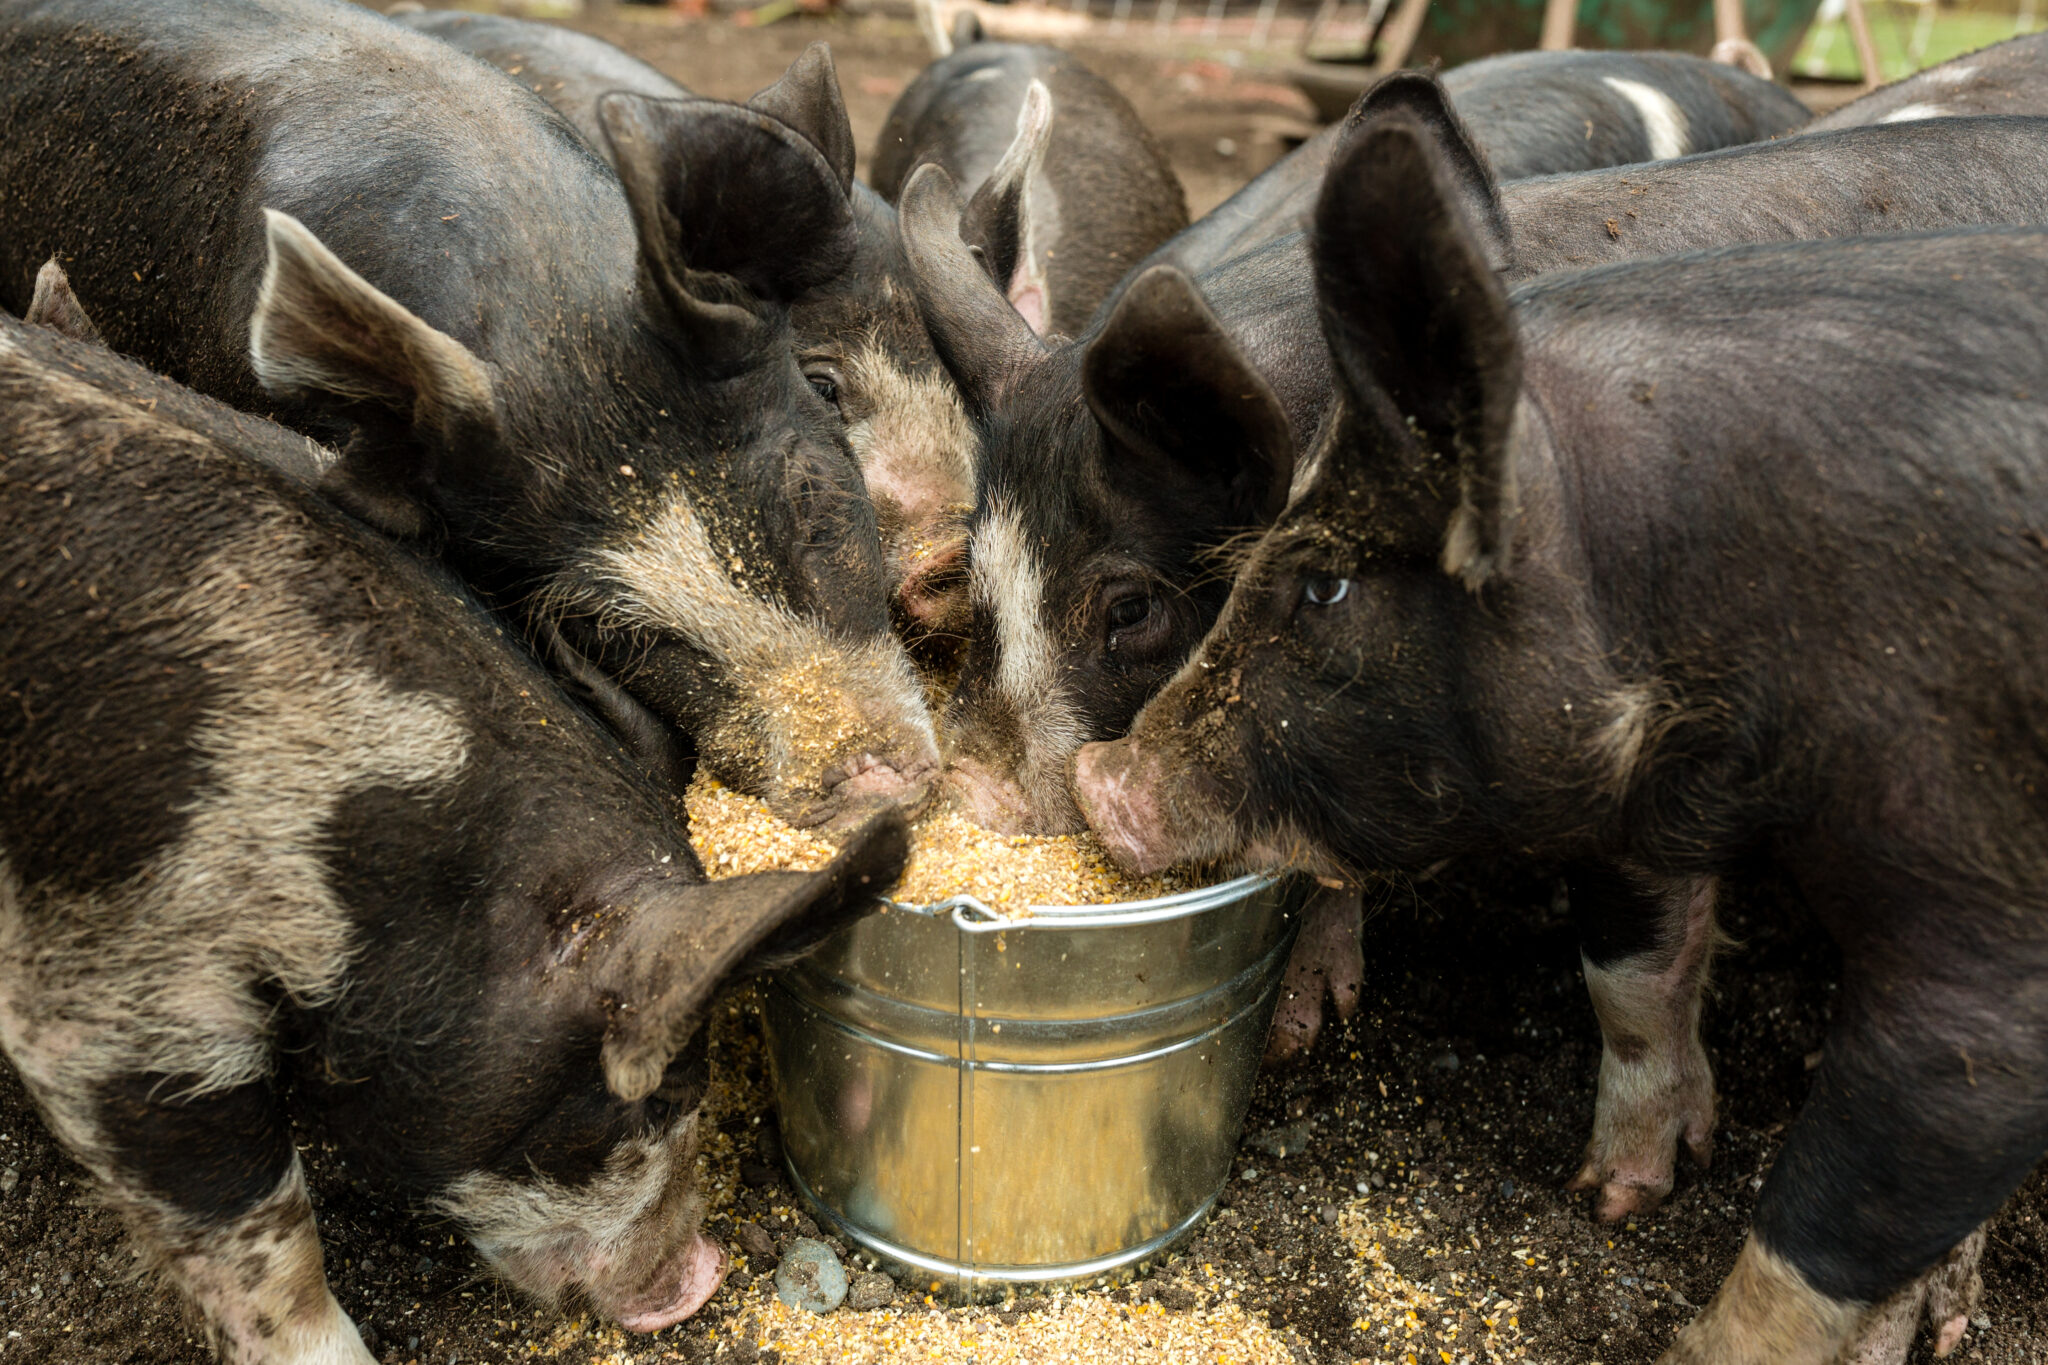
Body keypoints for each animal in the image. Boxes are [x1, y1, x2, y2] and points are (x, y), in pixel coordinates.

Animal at [1074, 114, 2048, 1364]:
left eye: (1324, 583)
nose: (1096, 780)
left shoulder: (1988, 935)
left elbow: (1822, 1233)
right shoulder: (1640, 804)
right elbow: (1628, 971)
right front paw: (1613, 1198)